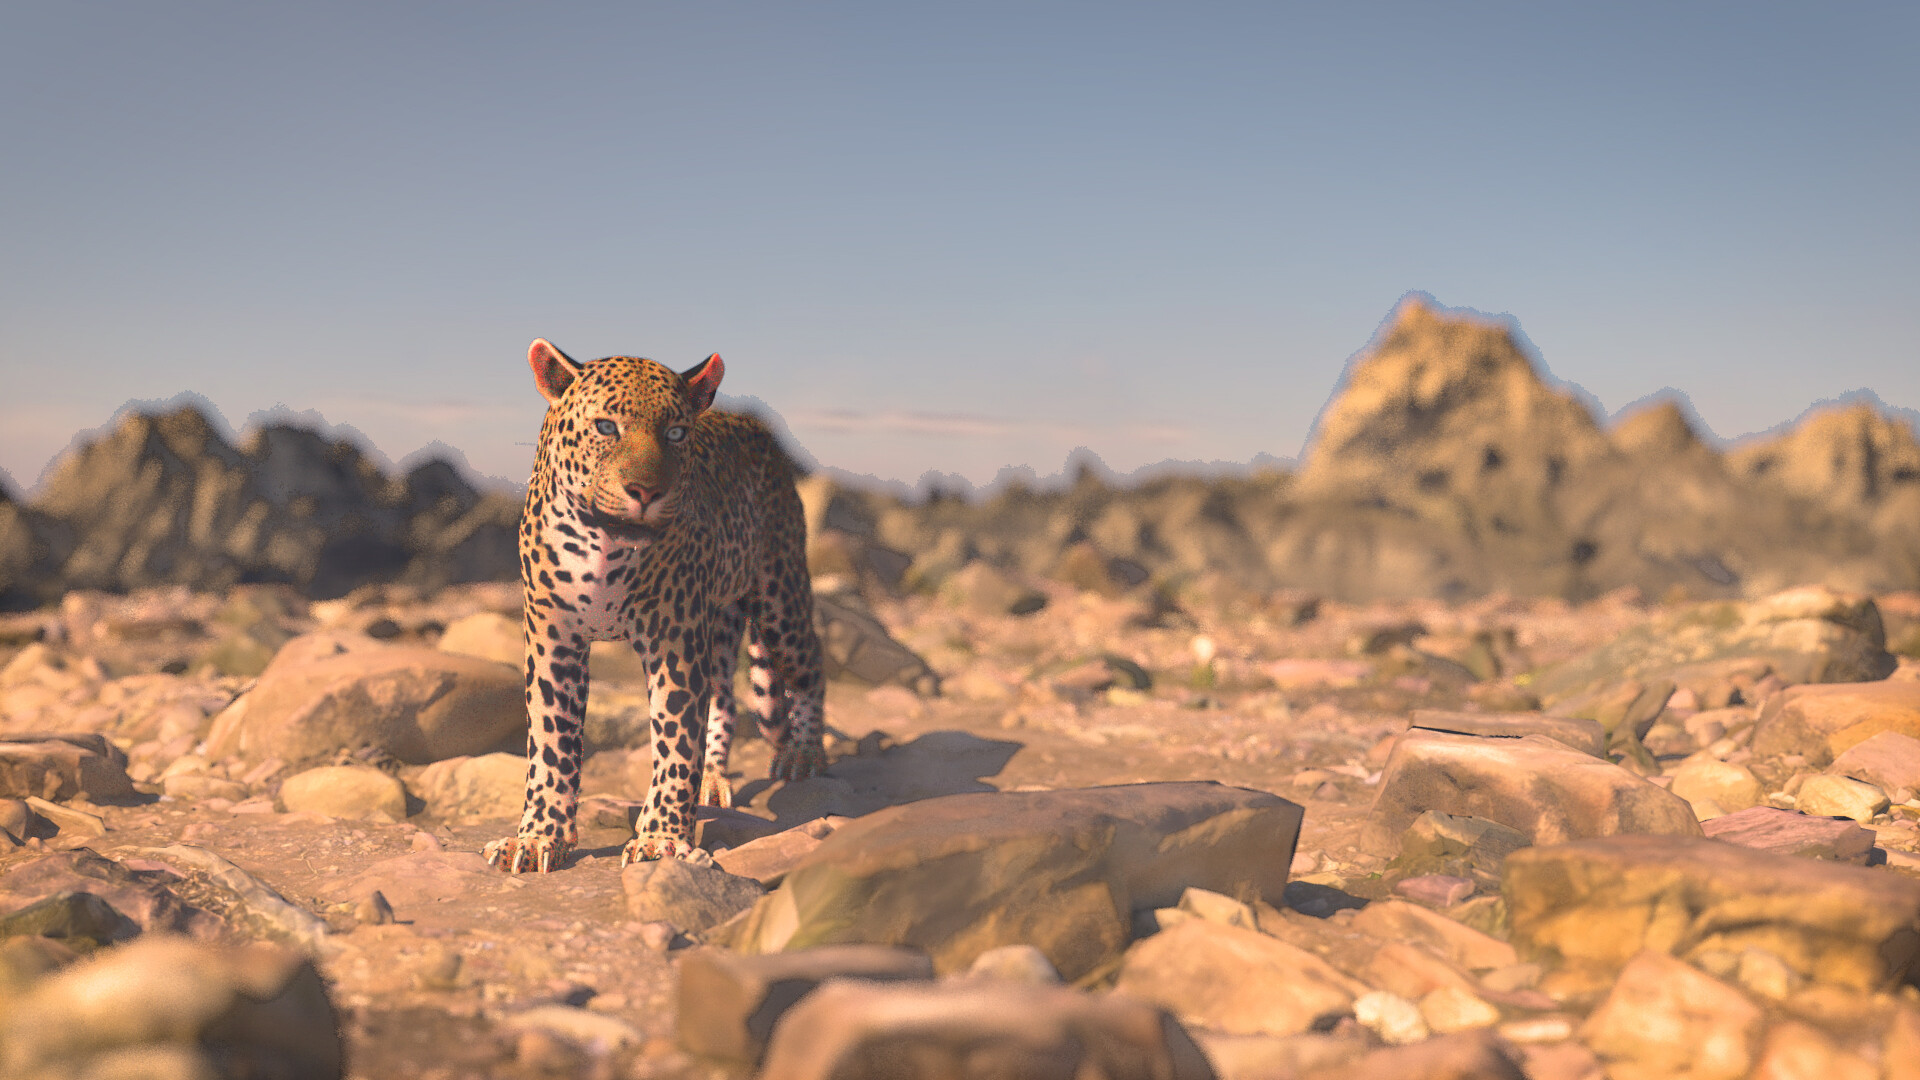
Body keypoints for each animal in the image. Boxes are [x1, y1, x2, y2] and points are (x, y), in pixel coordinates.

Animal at [483, 338, 827, 874]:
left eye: (676, 433)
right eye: (607, 427)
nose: (646, 492)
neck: (603, 546)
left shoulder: (675, 641)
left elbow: (676, 741)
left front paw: (661, 837)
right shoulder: (553, 639)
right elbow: (551, 744)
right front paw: (538, 837)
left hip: (780, 595)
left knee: (809, 665)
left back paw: (804, 756)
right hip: (719, 622)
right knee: (724, 701)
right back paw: (715, 780)